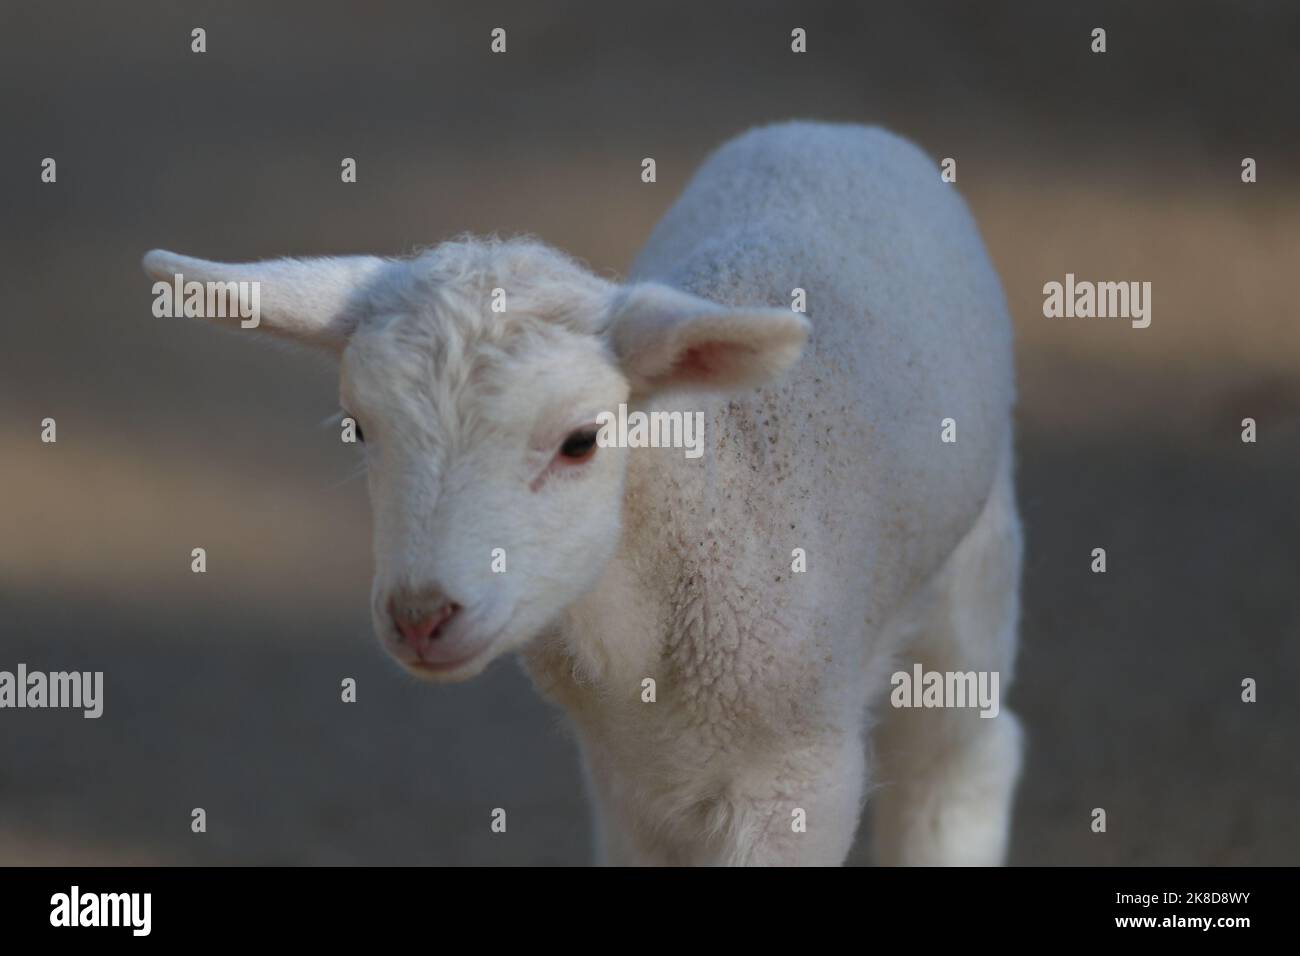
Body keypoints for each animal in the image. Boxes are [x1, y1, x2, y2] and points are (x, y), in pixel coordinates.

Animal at [142, 121, 1023, 866]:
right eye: (358, 428)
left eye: (579, 442)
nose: (421, 616)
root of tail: (832, 128)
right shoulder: (629, 783)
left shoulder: (798, 781)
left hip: (972, 557)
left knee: (961, 757)